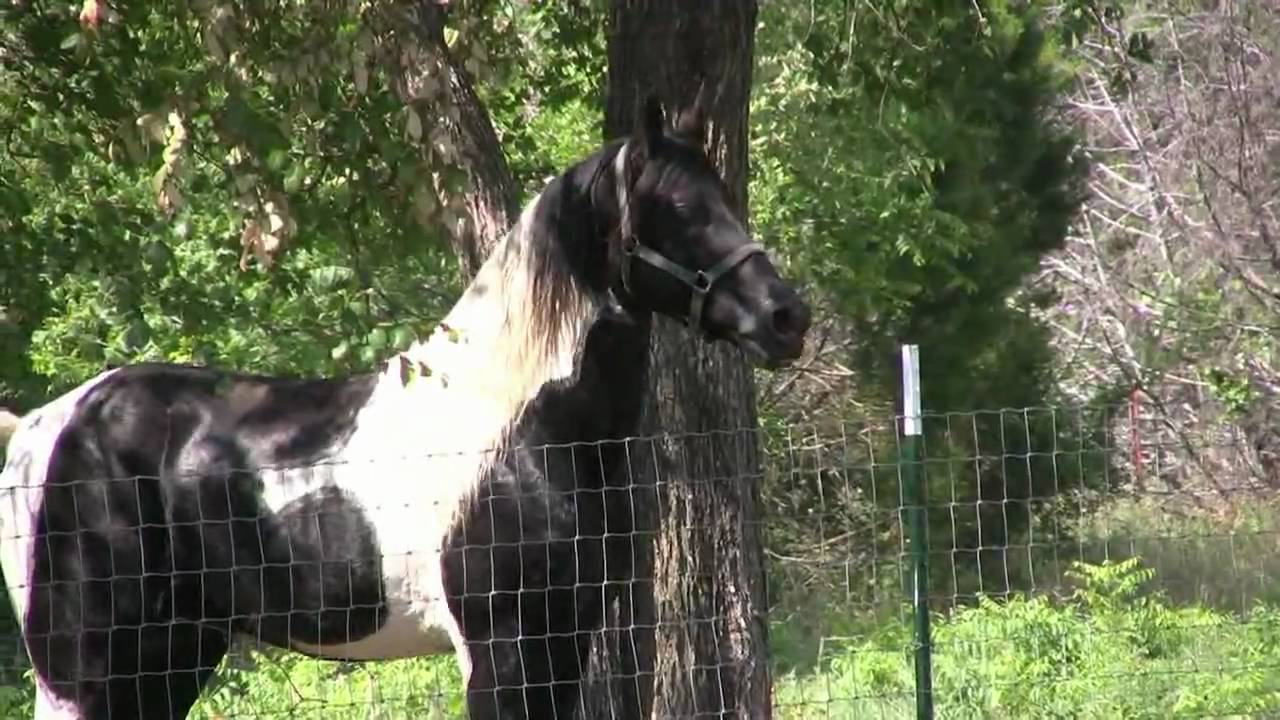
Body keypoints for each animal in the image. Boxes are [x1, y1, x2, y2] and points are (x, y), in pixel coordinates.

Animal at [0, 94, 812, 720]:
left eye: (724, 198)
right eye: (674, 206)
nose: (786, 318)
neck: (521, 432)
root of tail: (44, 427)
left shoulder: (565, 638)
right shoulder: (503, 647)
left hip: (169, 655)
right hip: (83, 668)